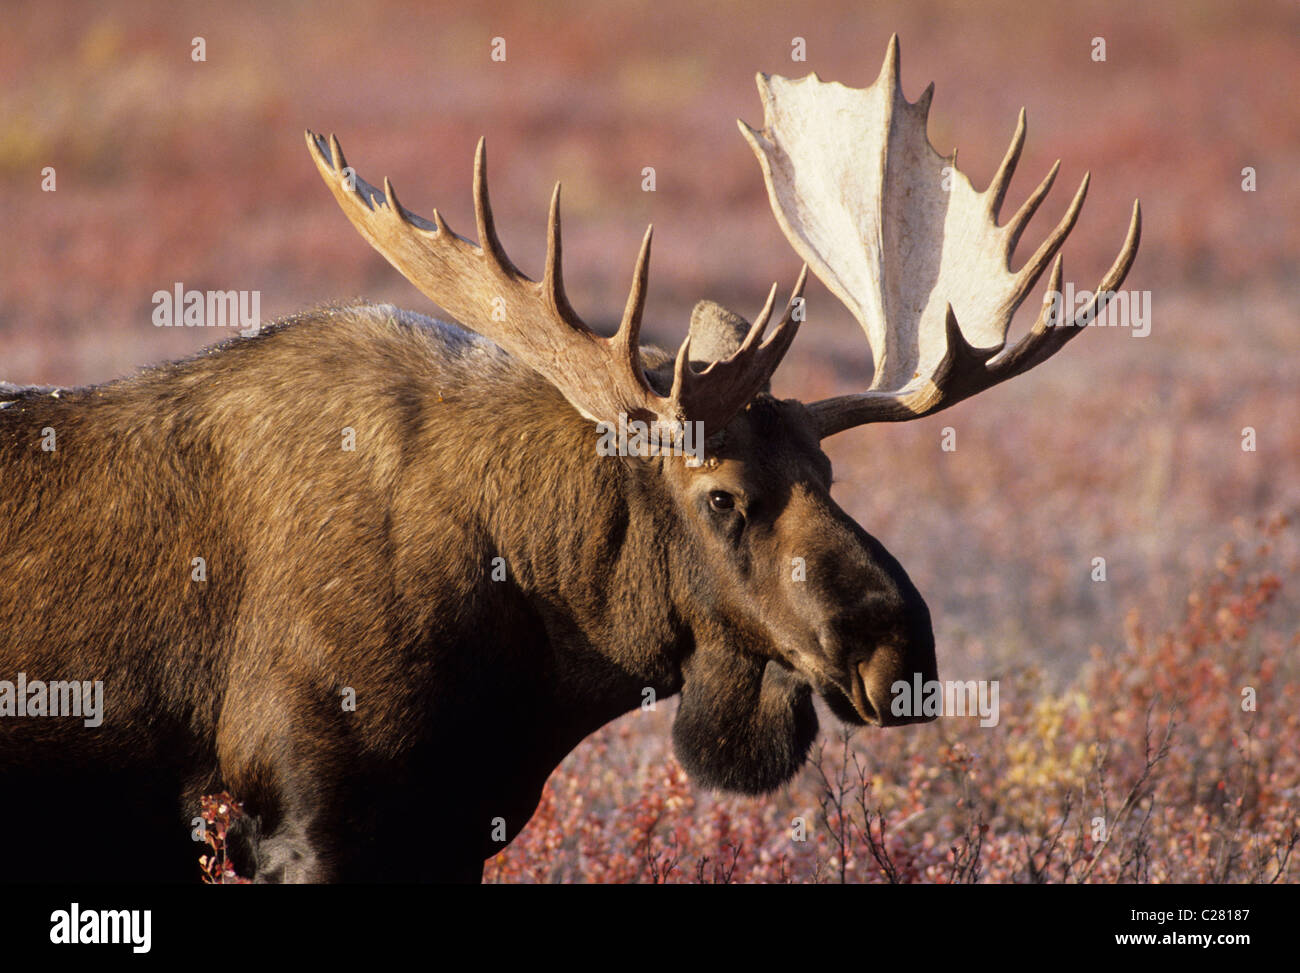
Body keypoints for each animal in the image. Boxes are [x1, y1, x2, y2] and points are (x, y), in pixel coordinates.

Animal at [0, 37, 1138, 882]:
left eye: (830, 478)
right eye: (721, 496)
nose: (901, 653)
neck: (535, 641)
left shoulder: (456, 831)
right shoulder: (303, 813)